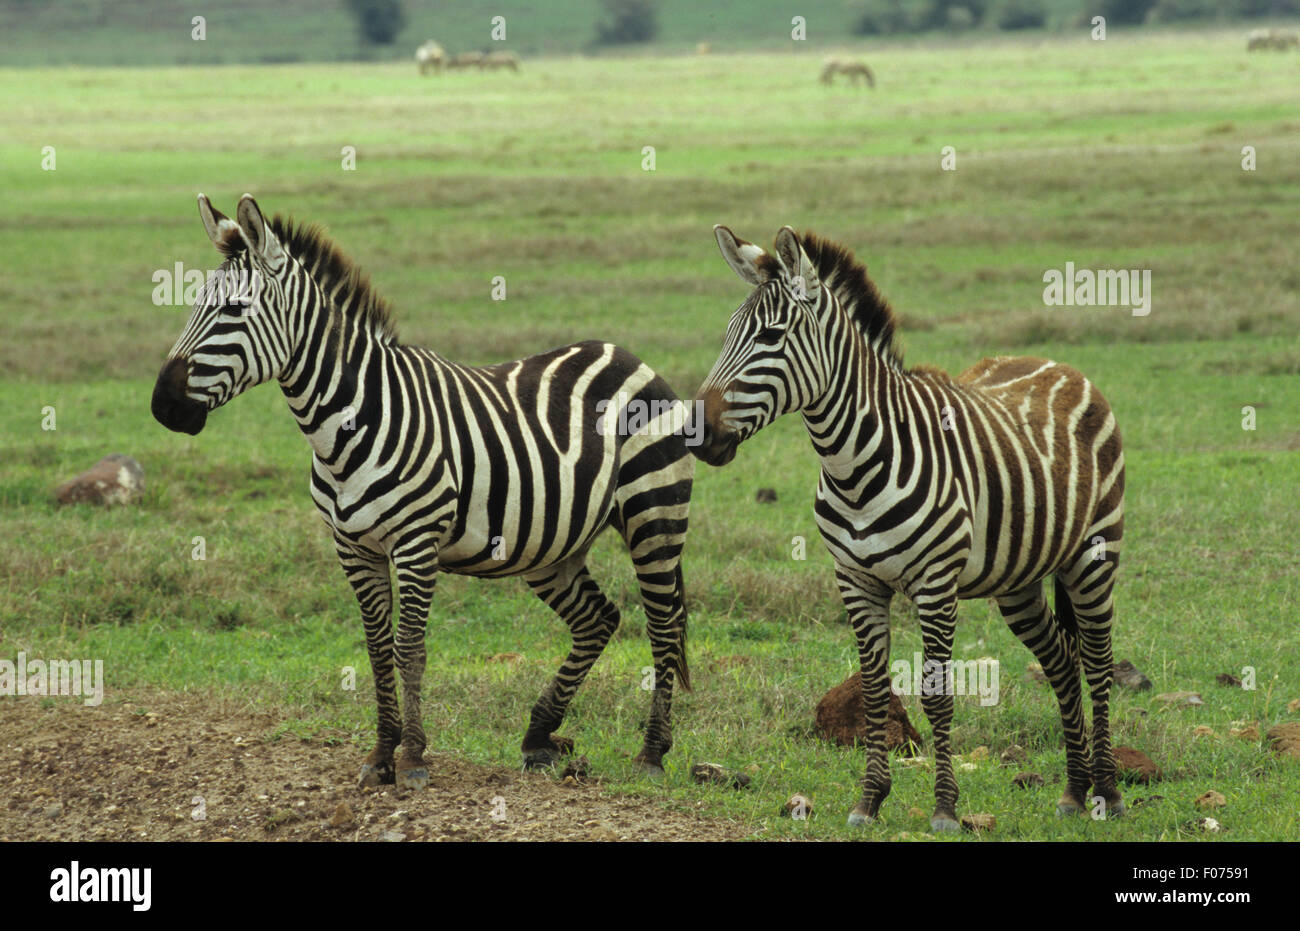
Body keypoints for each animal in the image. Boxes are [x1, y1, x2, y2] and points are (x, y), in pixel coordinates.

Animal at [151, 194, 694, 790]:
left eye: (234, 309)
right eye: (194, 305)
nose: (163, 406)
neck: (348, 421)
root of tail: (627, 354)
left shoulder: (416, 541)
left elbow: (408, 647)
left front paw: (411, 757)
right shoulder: (353, 548)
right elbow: (376, 648)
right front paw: (380, 753)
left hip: (653, 513)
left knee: (664, 624)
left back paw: (652, 753)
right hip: (554, 544)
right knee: (598, 620)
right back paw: (538, 736)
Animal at [691, 225, 1125, 831]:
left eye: (772, 336)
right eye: (728, 333)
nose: (697, 431)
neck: (853, 465)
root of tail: (1063, 365)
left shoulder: (935, 583)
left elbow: (937, 693)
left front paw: (944, 808)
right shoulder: (855, 582)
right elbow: (875, 693)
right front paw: (869, 801)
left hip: (1094, 554)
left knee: (1100, 662)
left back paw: (1106, 792)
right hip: (1018, 579)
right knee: (1063, 662)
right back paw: (1073, 791)